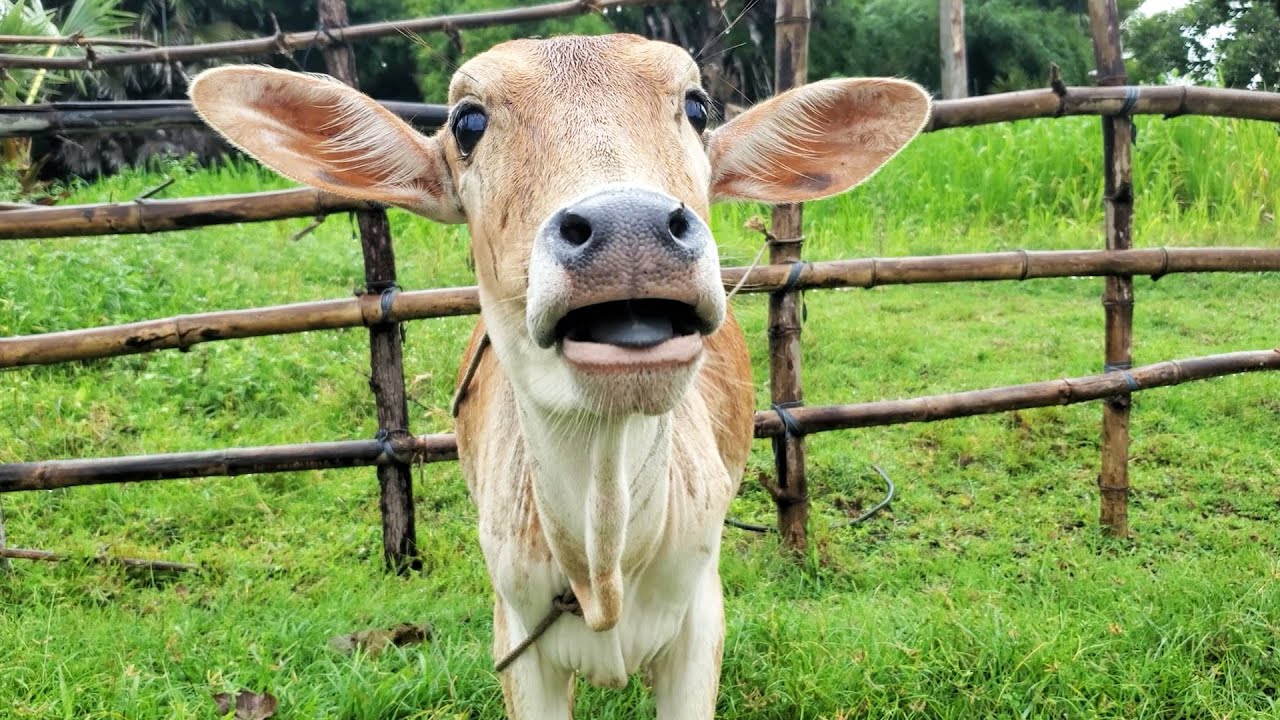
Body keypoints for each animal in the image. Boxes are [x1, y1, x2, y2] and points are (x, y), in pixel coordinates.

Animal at [190, 33, 928, 719]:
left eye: (697, 106)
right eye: (467, 122)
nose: (629, 229)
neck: (603, 568)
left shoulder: (700, 623)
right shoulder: (516, 638)